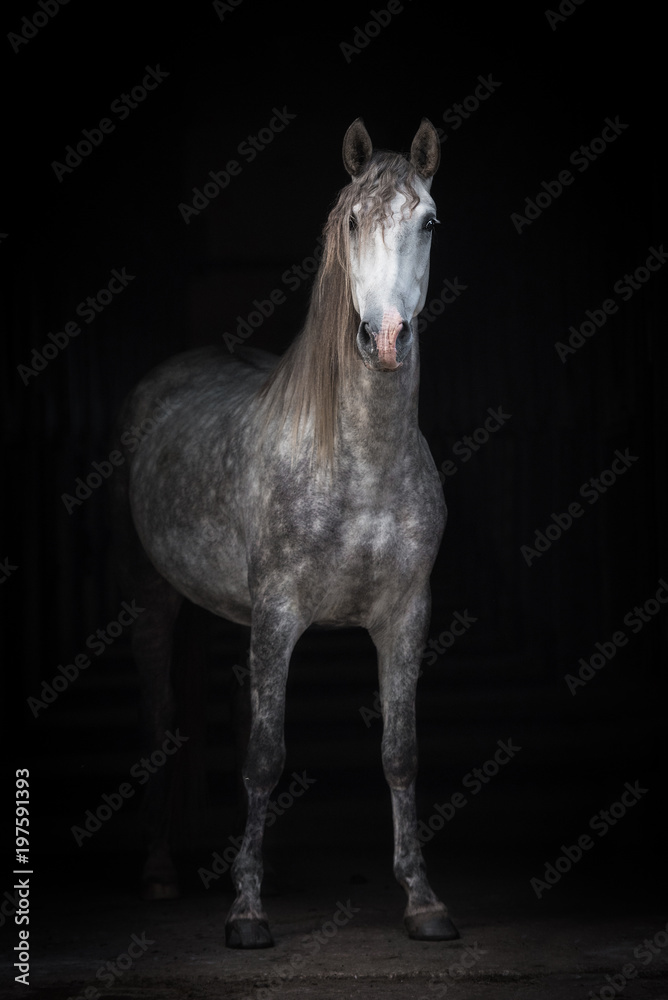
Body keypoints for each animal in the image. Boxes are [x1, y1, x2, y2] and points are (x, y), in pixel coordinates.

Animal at [111, 117, 459, 948]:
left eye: (429, 222)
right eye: (354, 222)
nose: (386, 339)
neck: (357, 460)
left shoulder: (406, 616)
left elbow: (400, 752)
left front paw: (422, 899)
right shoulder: (278, 614)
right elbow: (265, 758)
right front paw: (245, 913)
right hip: (153, 596)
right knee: (160, 719)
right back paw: (162, 872)